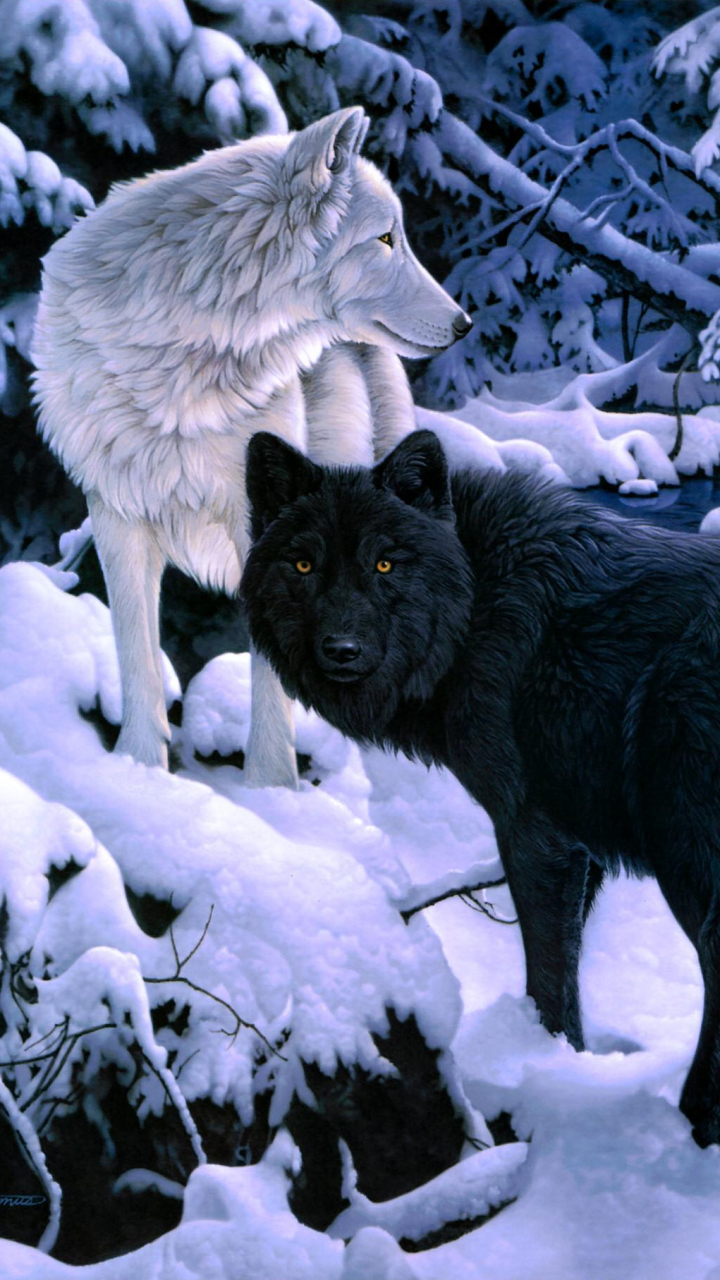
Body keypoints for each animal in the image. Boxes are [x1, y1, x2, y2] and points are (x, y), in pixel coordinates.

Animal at [31, 108, 470, 785]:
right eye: (385, 239)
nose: (463, 323)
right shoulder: (116, 515)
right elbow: (137, 655)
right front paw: (138, 773)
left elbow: (272, 679)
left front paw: (270, 790)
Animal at [241, 427, 720, 1147]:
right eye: (302, 565)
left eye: (386, 565)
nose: (342, 650)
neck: (476, 603)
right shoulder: (580, 847)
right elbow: (567, 973)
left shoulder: (532, 831)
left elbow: (548, 979)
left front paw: (539, 1081)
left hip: (687, 863)